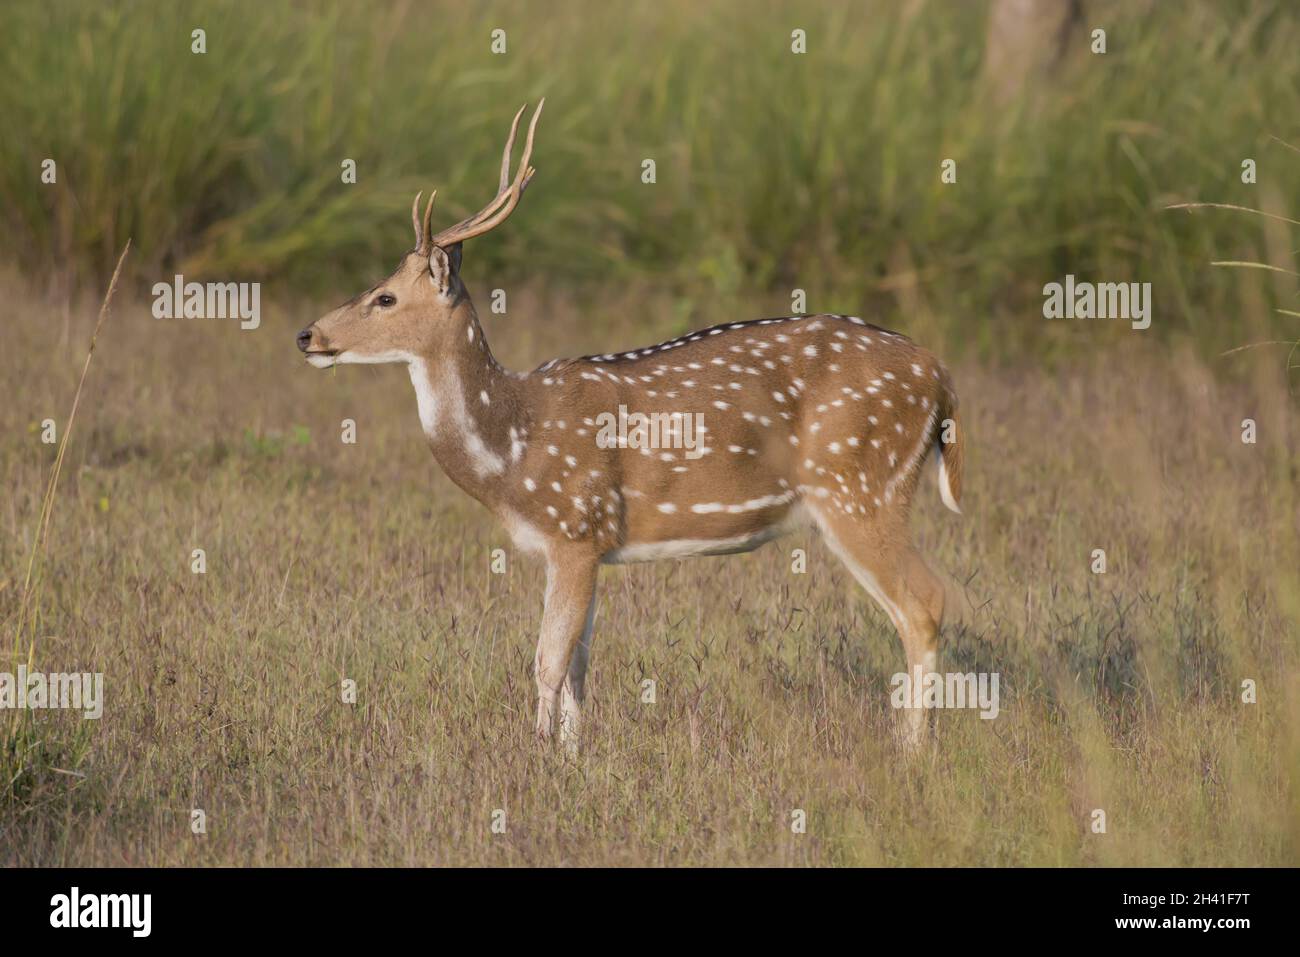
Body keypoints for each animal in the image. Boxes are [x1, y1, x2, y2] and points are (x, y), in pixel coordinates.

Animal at [296, 101, 964, 752]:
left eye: (384, 297)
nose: (308, 335)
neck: (511, 449)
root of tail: (940, 378)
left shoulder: (573, 525)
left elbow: (546, 662)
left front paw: (533, 757)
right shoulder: (590, 544)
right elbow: (578, 666)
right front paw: (572, 757)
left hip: (858, 486)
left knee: (925, 602)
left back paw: (913, 752)